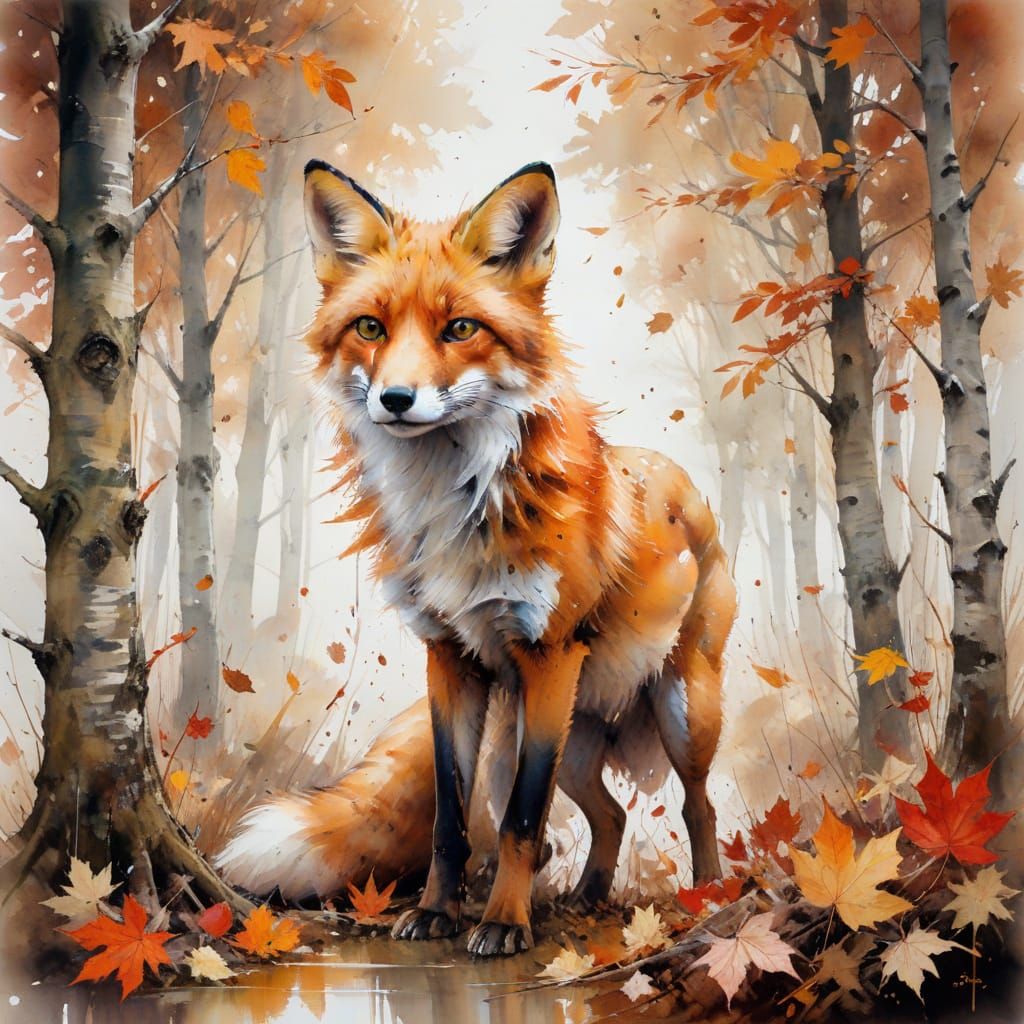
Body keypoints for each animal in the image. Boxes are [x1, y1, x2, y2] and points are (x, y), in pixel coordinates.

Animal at [216, 159, 736, 957]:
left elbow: (521, 820)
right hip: (566, 739)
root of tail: (685, 481)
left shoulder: (549, 654)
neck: (453, 515)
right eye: (370, 327)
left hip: (678, 710)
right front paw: (436, 912)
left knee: (696, 806)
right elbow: (451, 819)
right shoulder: (449, 656)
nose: (397, 399)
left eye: (460, 328)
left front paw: (502, 923)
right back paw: (586, 898)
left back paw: (707, 901)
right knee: (608, 815)